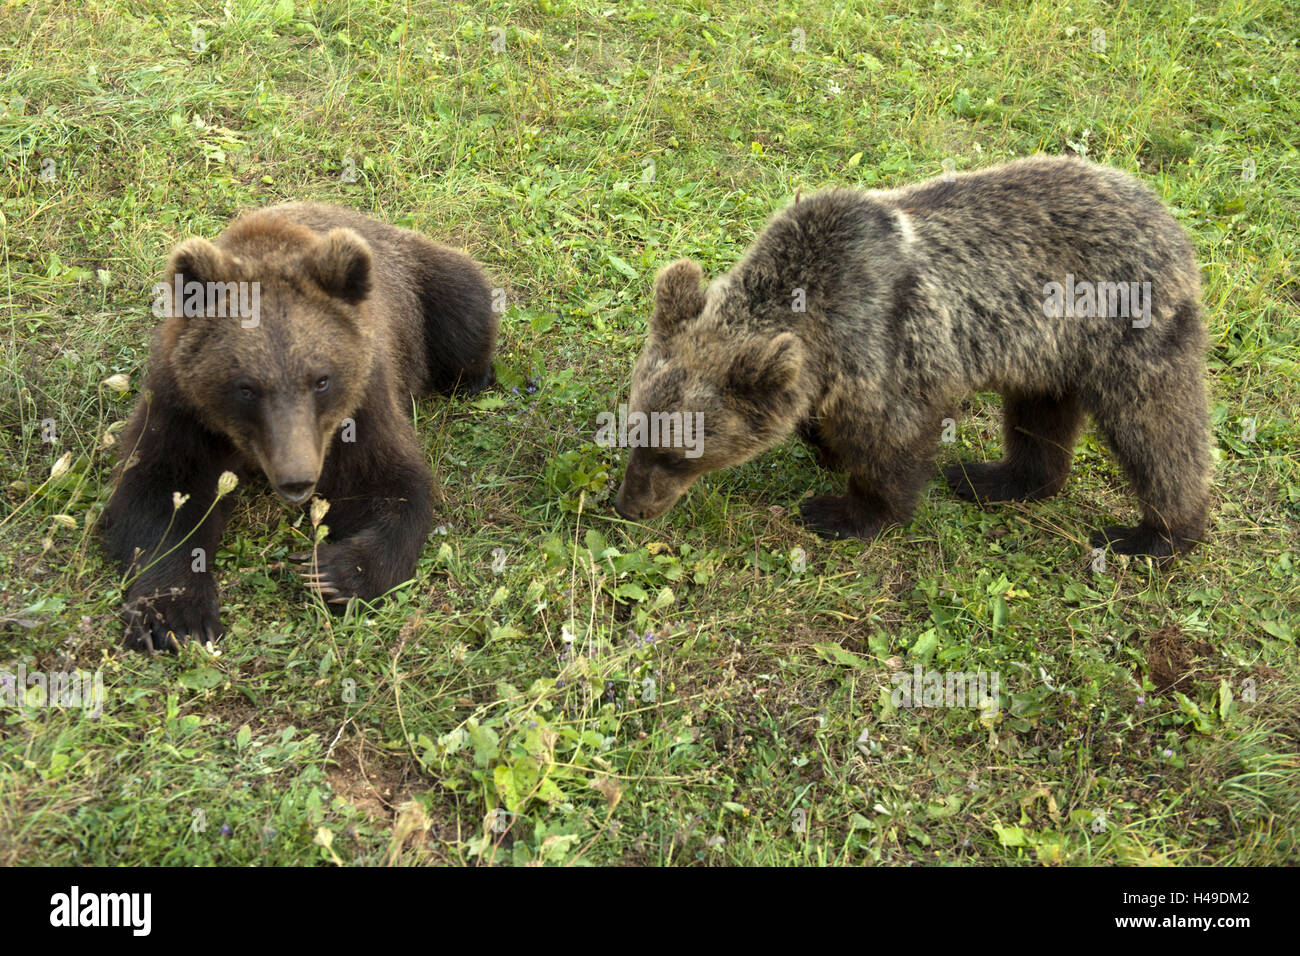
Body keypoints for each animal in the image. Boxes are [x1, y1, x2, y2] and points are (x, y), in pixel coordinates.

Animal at [101, 202, 497, 652]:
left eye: (321, 379)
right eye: (246, 388)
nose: (298, 479)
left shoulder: (359, 406)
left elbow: (391, 487)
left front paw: (332, 574)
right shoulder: (184, 409)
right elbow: (160, 492)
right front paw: (177, 616)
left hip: (428, 288)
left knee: (465, 312)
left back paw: (474, 377)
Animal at [613, 155, 1212, 559]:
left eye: (678, 455)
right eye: (635, 432)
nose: (628, 506)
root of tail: (1167, 217)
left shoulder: (885, 348)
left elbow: (891, 443)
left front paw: (843, 511)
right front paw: (825, 448)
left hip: (1127, 328)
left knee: (1157, 427)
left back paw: (1156, 534)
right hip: (1047, 351)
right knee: (1040, 414)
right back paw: (999, 479)